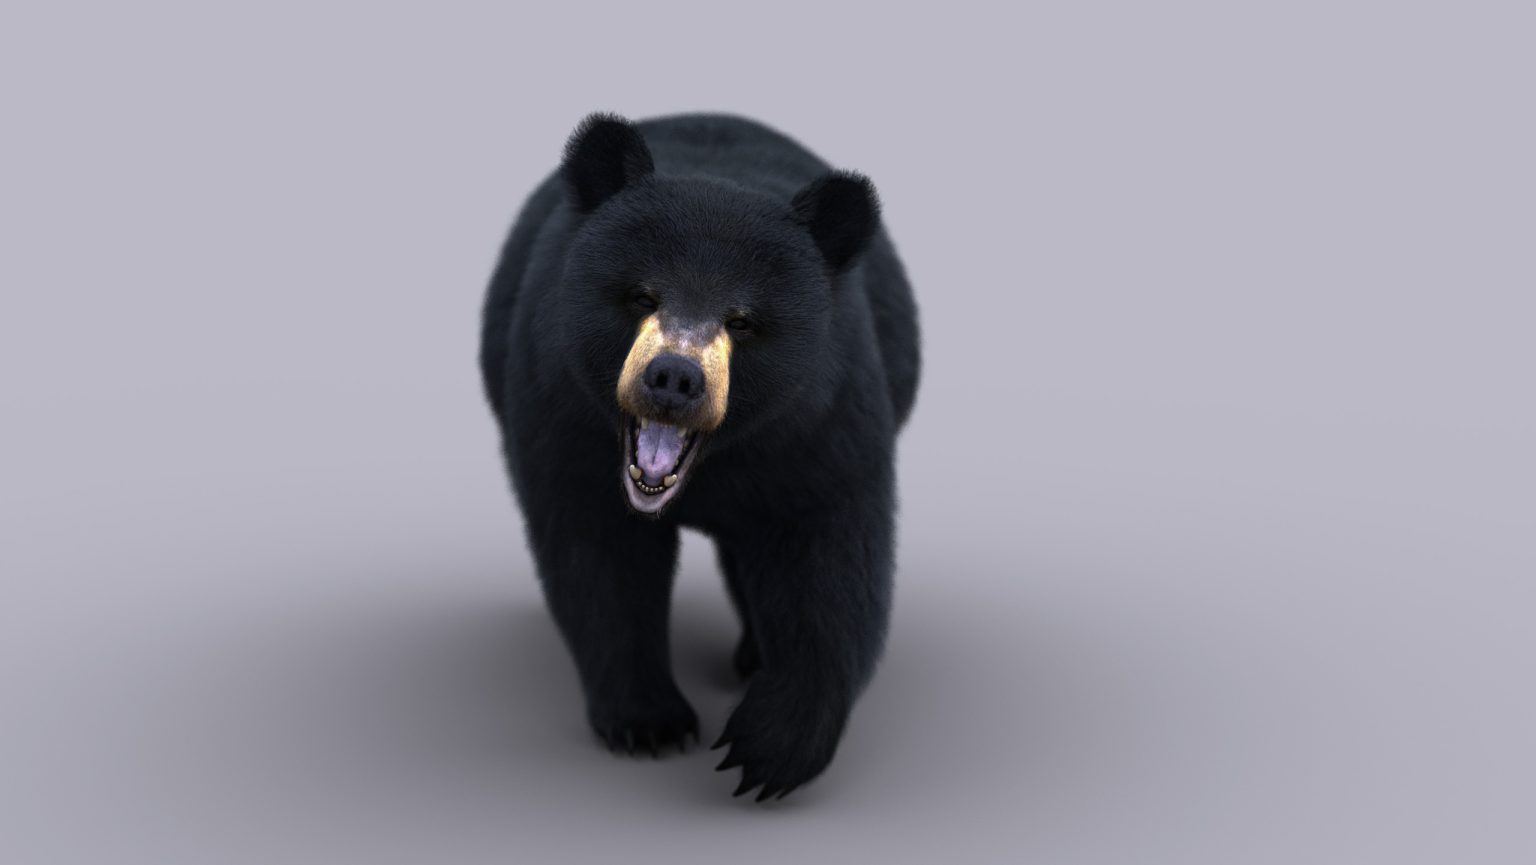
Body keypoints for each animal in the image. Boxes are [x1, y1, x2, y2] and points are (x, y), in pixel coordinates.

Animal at [479, 112, 920, 801]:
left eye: (742, 320)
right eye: (641, 295)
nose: (674, 379)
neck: (718, 462)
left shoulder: (821, 418)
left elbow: (828, 555)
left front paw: (768, 749)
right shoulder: (561, 409)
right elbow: (598, 556)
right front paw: (649, 723)